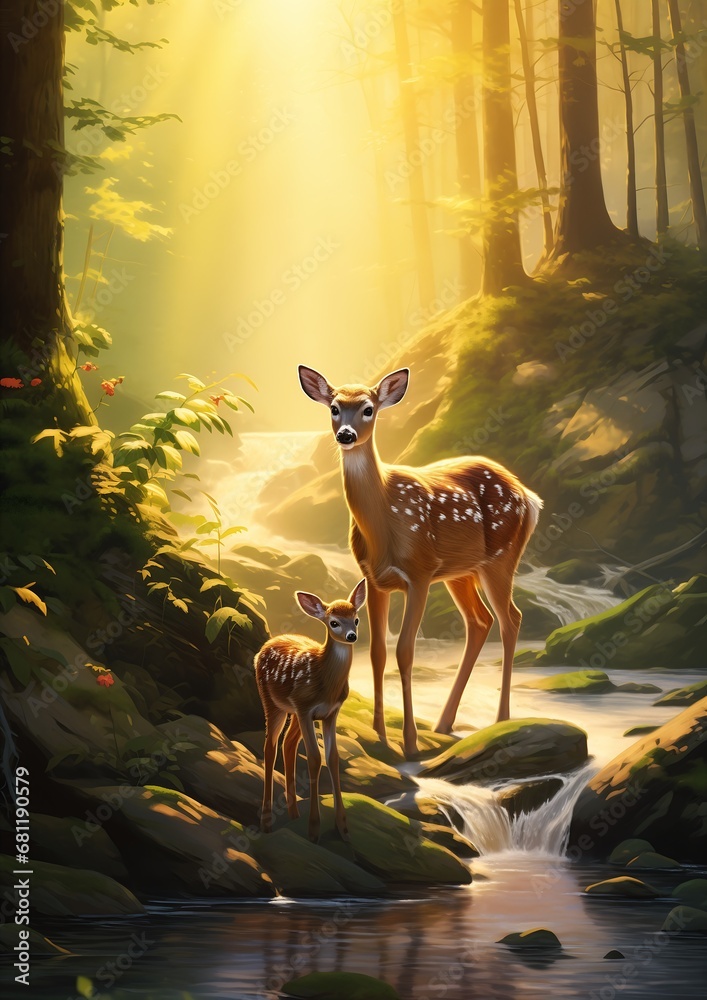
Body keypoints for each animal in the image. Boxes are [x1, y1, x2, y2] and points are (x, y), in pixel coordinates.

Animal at [255, 578, 367, 843]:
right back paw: (266, 822)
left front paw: (343, 827)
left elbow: (333, 758)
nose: (352, 636)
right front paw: (314, 829)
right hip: (273, 702)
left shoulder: (330, 713)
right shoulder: (306, 709)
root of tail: (263, 647)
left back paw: (293, 813)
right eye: (334, 622)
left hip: (294, 711)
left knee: (288, 744)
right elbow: (315, 759)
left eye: (356, 619)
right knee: (270, 746)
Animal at [298, 365, 543, 758]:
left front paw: (410, 742)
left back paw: (501, 720)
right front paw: (380, 734)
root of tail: (530, 498)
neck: (384, 524)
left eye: (368, 409)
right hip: (461, 572)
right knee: (481, 621)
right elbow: (378, 653)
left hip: (501, 558)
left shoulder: (420, 573)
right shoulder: (374, 580)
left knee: (511, 619)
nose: (345, 435)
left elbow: (405, 652)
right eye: (334, 408)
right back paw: (445, 723)